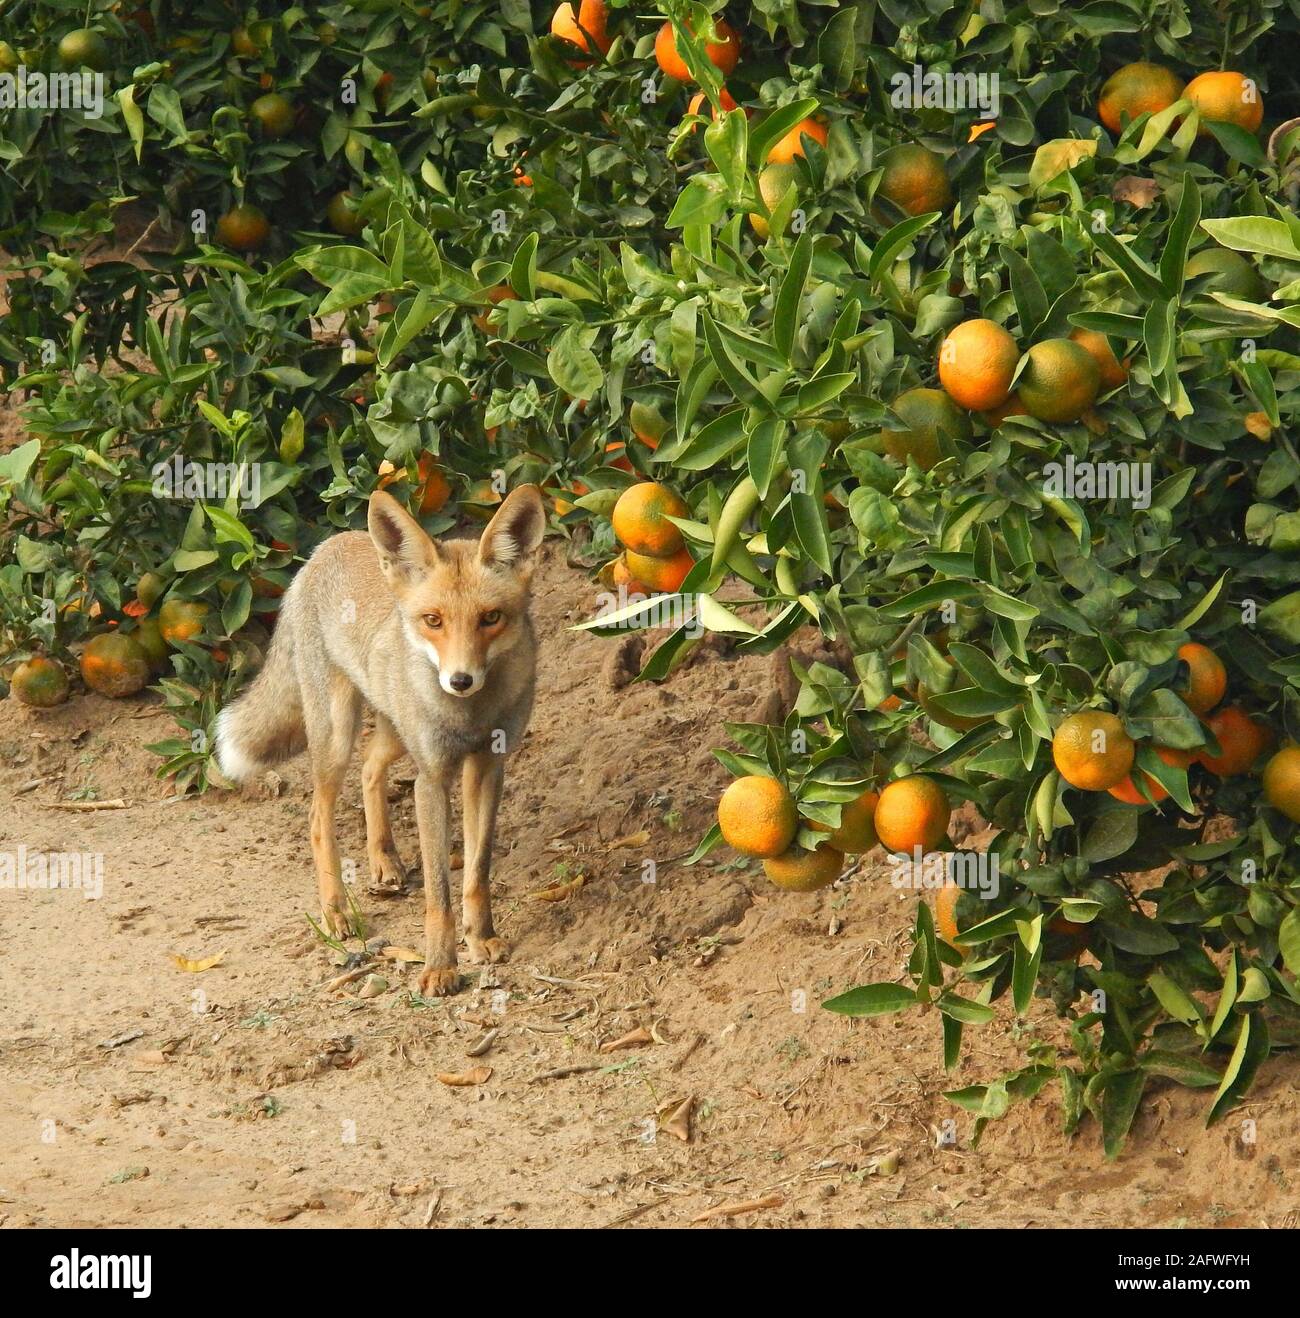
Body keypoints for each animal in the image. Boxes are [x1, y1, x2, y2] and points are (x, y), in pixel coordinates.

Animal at [214, 483, 547, 996]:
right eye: (433, 620)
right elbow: (438, 893)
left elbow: (476, 873)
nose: (460, 680)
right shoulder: (432, 778)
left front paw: (481, 938)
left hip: (394, 732)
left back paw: (383, 859)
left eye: (491, 617)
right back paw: (335, 912)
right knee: (318, 817)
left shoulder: (487, 767)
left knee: (371, 769)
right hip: (337, 738)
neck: (471, 716)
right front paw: (440, 966)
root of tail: (324, 548)